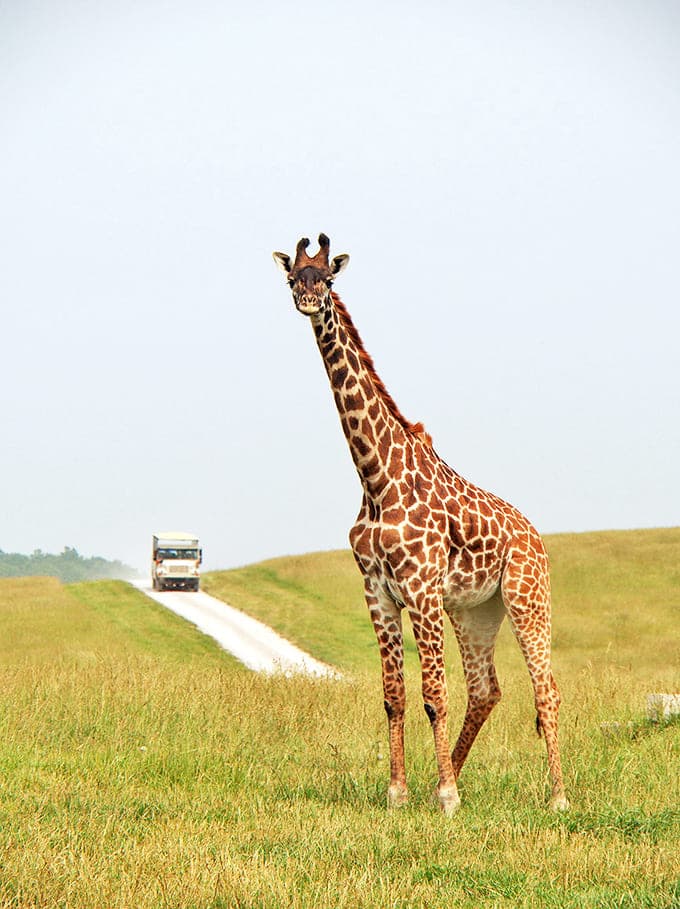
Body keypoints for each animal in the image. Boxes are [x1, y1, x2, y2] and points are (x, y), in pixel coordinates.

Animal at [272, 233, 569, 815]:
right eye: (293, 277)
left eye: (329, 278)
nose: (308, 301)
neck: (375, 477)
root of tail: (535, 535)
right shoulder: (379, 591)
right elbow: (394, 696)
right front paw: (401, 791)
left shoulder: (421, 589)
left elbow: (434, 695)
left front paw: (447, 798)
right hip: (476, 611)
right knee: (487, 690)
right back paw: (449, 773)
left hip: (527, 597)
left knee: (545, 689)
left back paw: (557, 797)